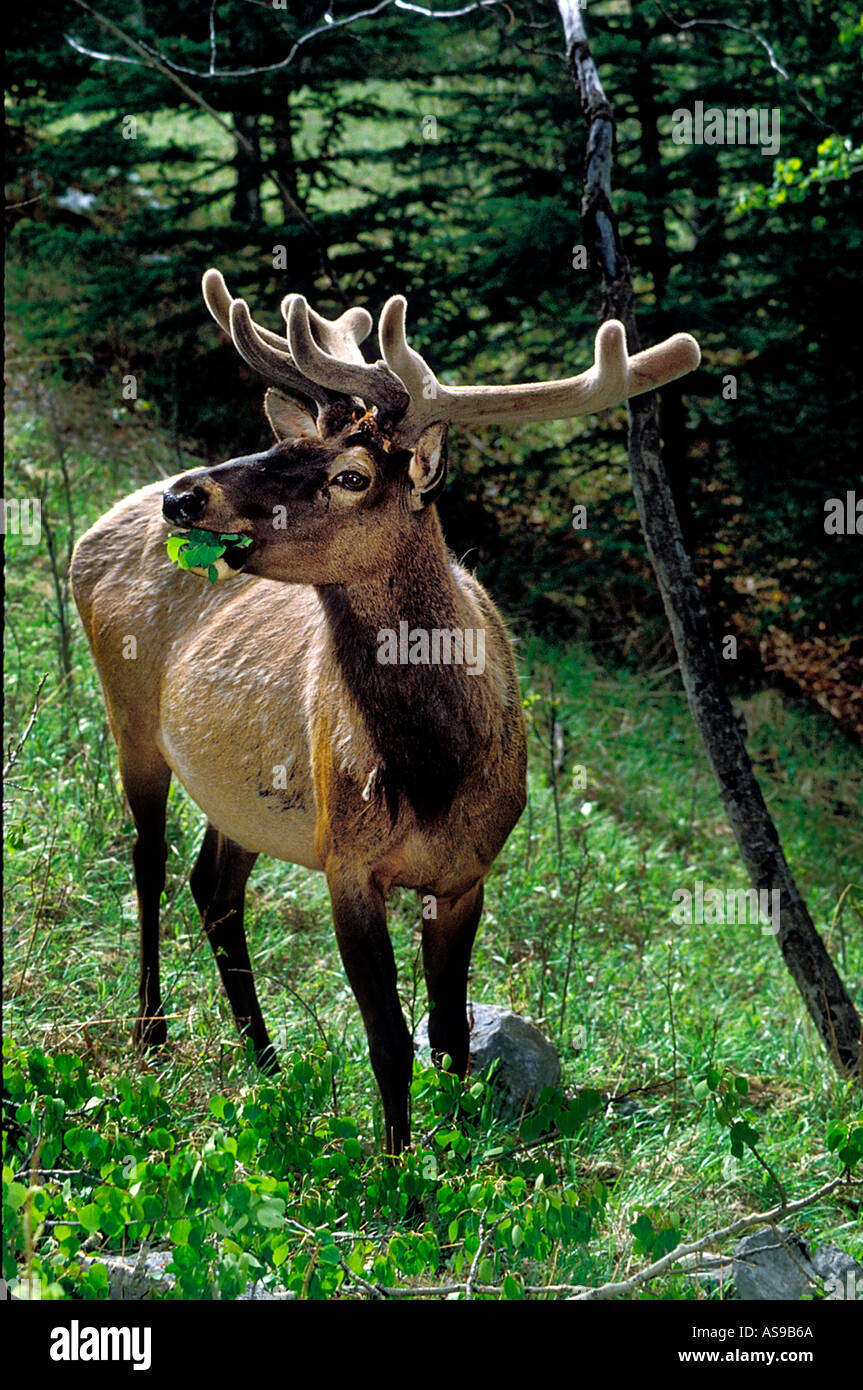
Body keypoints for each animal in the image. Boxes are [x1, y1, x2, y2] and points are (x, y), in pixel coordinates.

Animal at [70, 270, 700, 1155]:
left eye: (350, 475)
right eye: (285, 446)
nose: (185, 494)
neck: (434, 768)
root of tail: (92, 527)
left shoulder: (468, 872)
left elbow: (448, 1036)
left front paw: (461, 1155)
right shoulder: (346, 859)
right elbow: (388, 1038)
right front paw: (400, 1172)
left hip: (241, 797)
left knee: (214, 889)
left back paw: (266, 1061)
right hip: (129, 718)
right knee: (148, 861)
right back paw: (152, 1032)